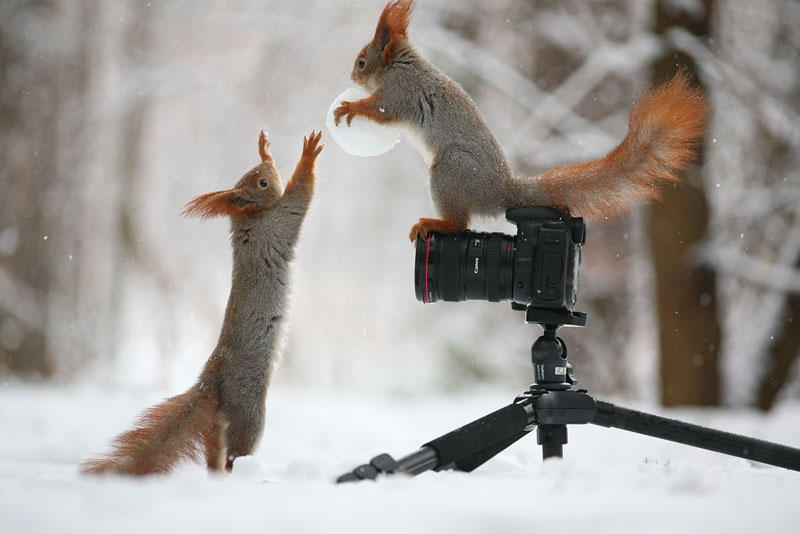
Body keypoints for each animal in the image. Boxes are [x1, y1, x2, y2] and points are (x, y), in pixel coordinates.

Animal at [81, 130, 324, 476]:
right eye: (262, 182)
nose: (270, 164)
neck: (250, 217)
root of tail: (210, 384)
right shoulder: (281, 219)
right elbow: (302, 193)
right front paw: (308, 154)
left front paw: (264, 147)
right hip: (250, 413)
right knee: (236, 453)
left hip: (215, 426)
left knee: (215, 453)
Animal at [333, 0, 709, 242]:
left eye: (362, 62)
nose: (352, 76)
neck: (399, 64)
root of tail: (502, 191)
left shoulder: (401, 93)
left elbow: (382, 111)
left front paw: (349, 108)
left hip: (451, 169)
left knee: (462, 223)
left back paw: (435, 223)